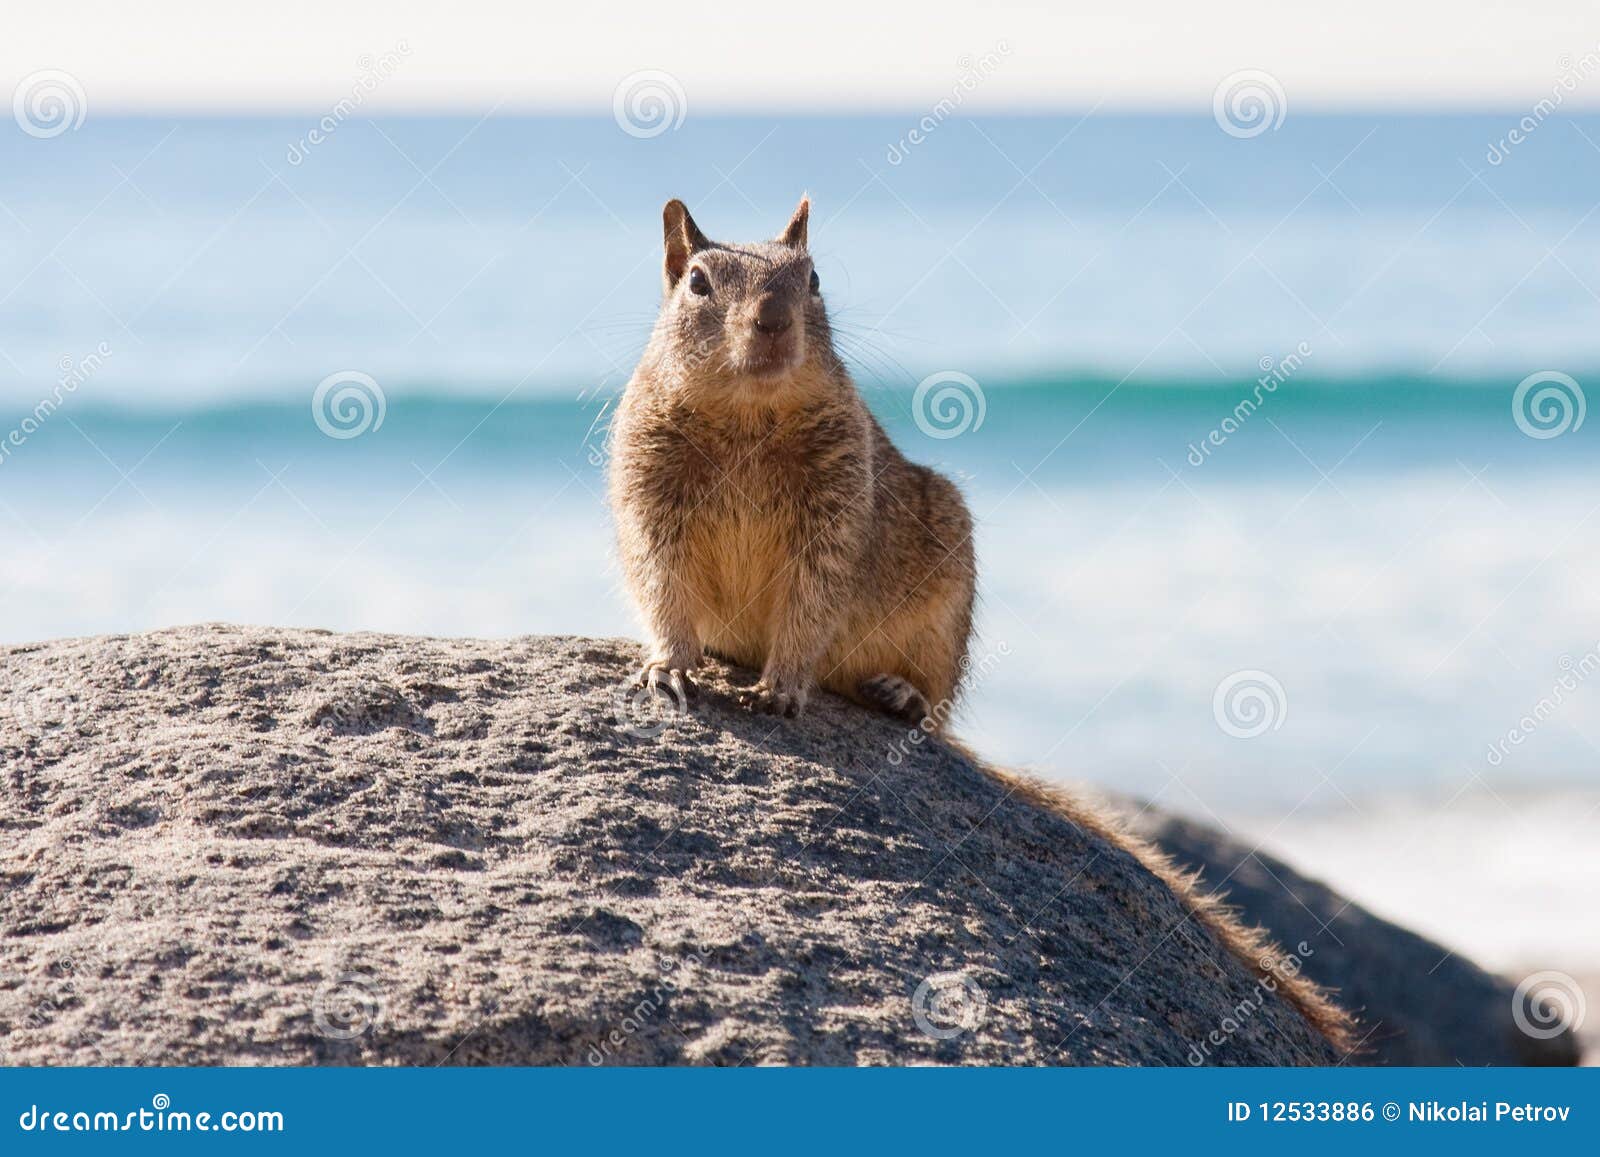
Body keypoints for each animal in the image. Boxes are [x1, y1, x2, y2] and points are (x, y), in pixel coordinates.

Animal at [608, 197, 977, 727]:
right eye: (697, 281)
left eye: (814, 279)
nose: (774, 320)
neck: (747, 412)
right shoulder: (651, 498)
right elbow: (663, 587)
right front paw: (669, 667)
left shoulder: (833, 515)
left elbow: (811, 607)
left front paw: (780, 687)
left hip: (946, 605)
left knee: (937, 704)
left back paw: (902, 695)